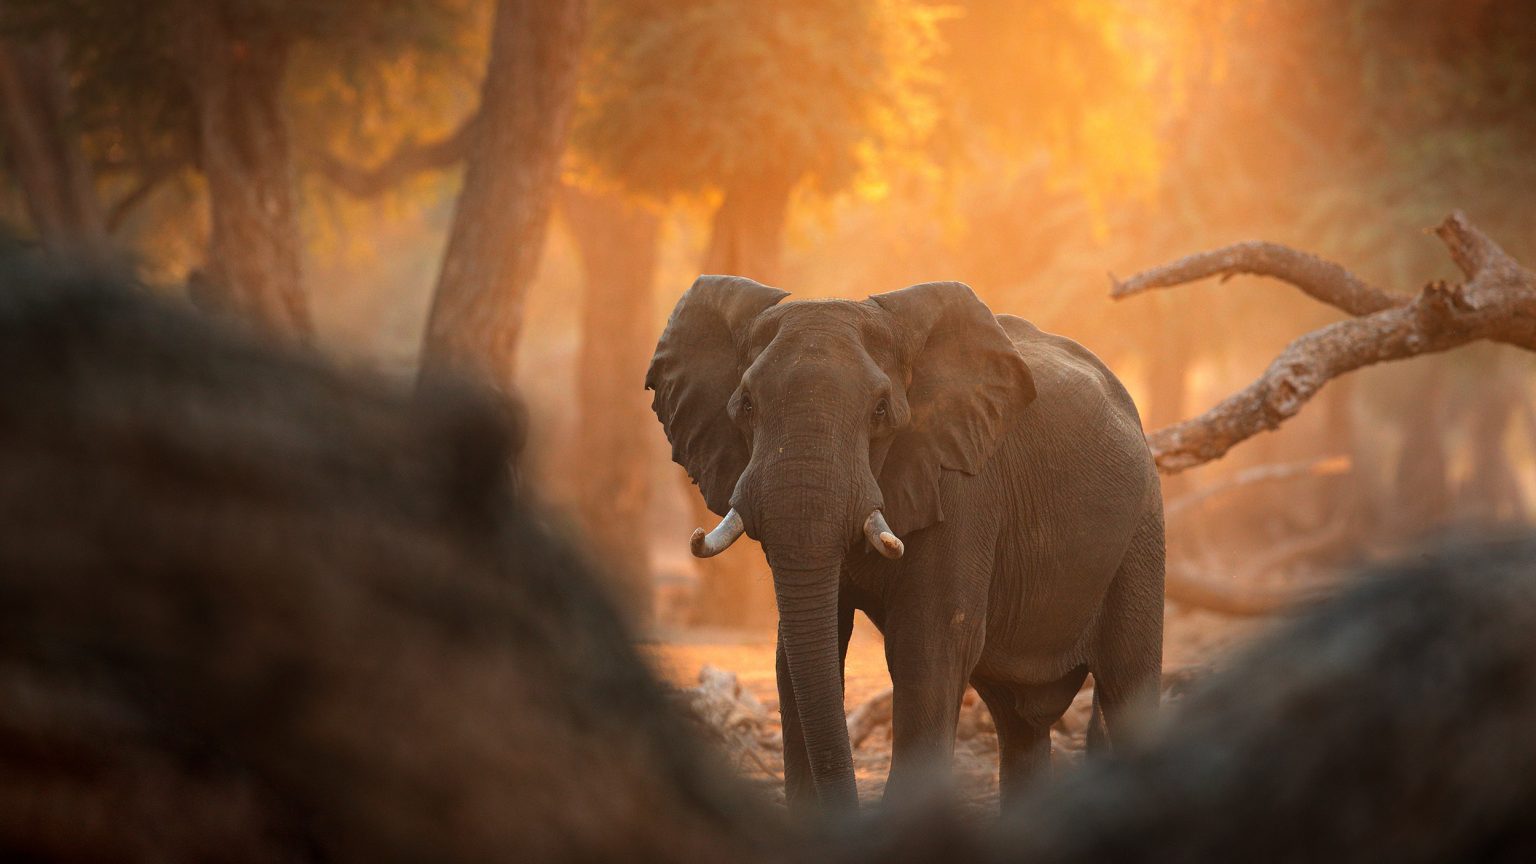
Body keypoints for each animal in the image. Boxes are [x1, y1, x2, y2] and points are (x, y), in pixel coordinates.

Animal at [646, 276, 1164, 812]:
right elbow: (798, 655)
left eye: (880, 410)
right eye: (746, 404)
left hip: (1142, 530)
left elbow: (930, 647)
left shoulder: (960, 487)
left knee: (1126, 685)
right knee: (1018, 723)